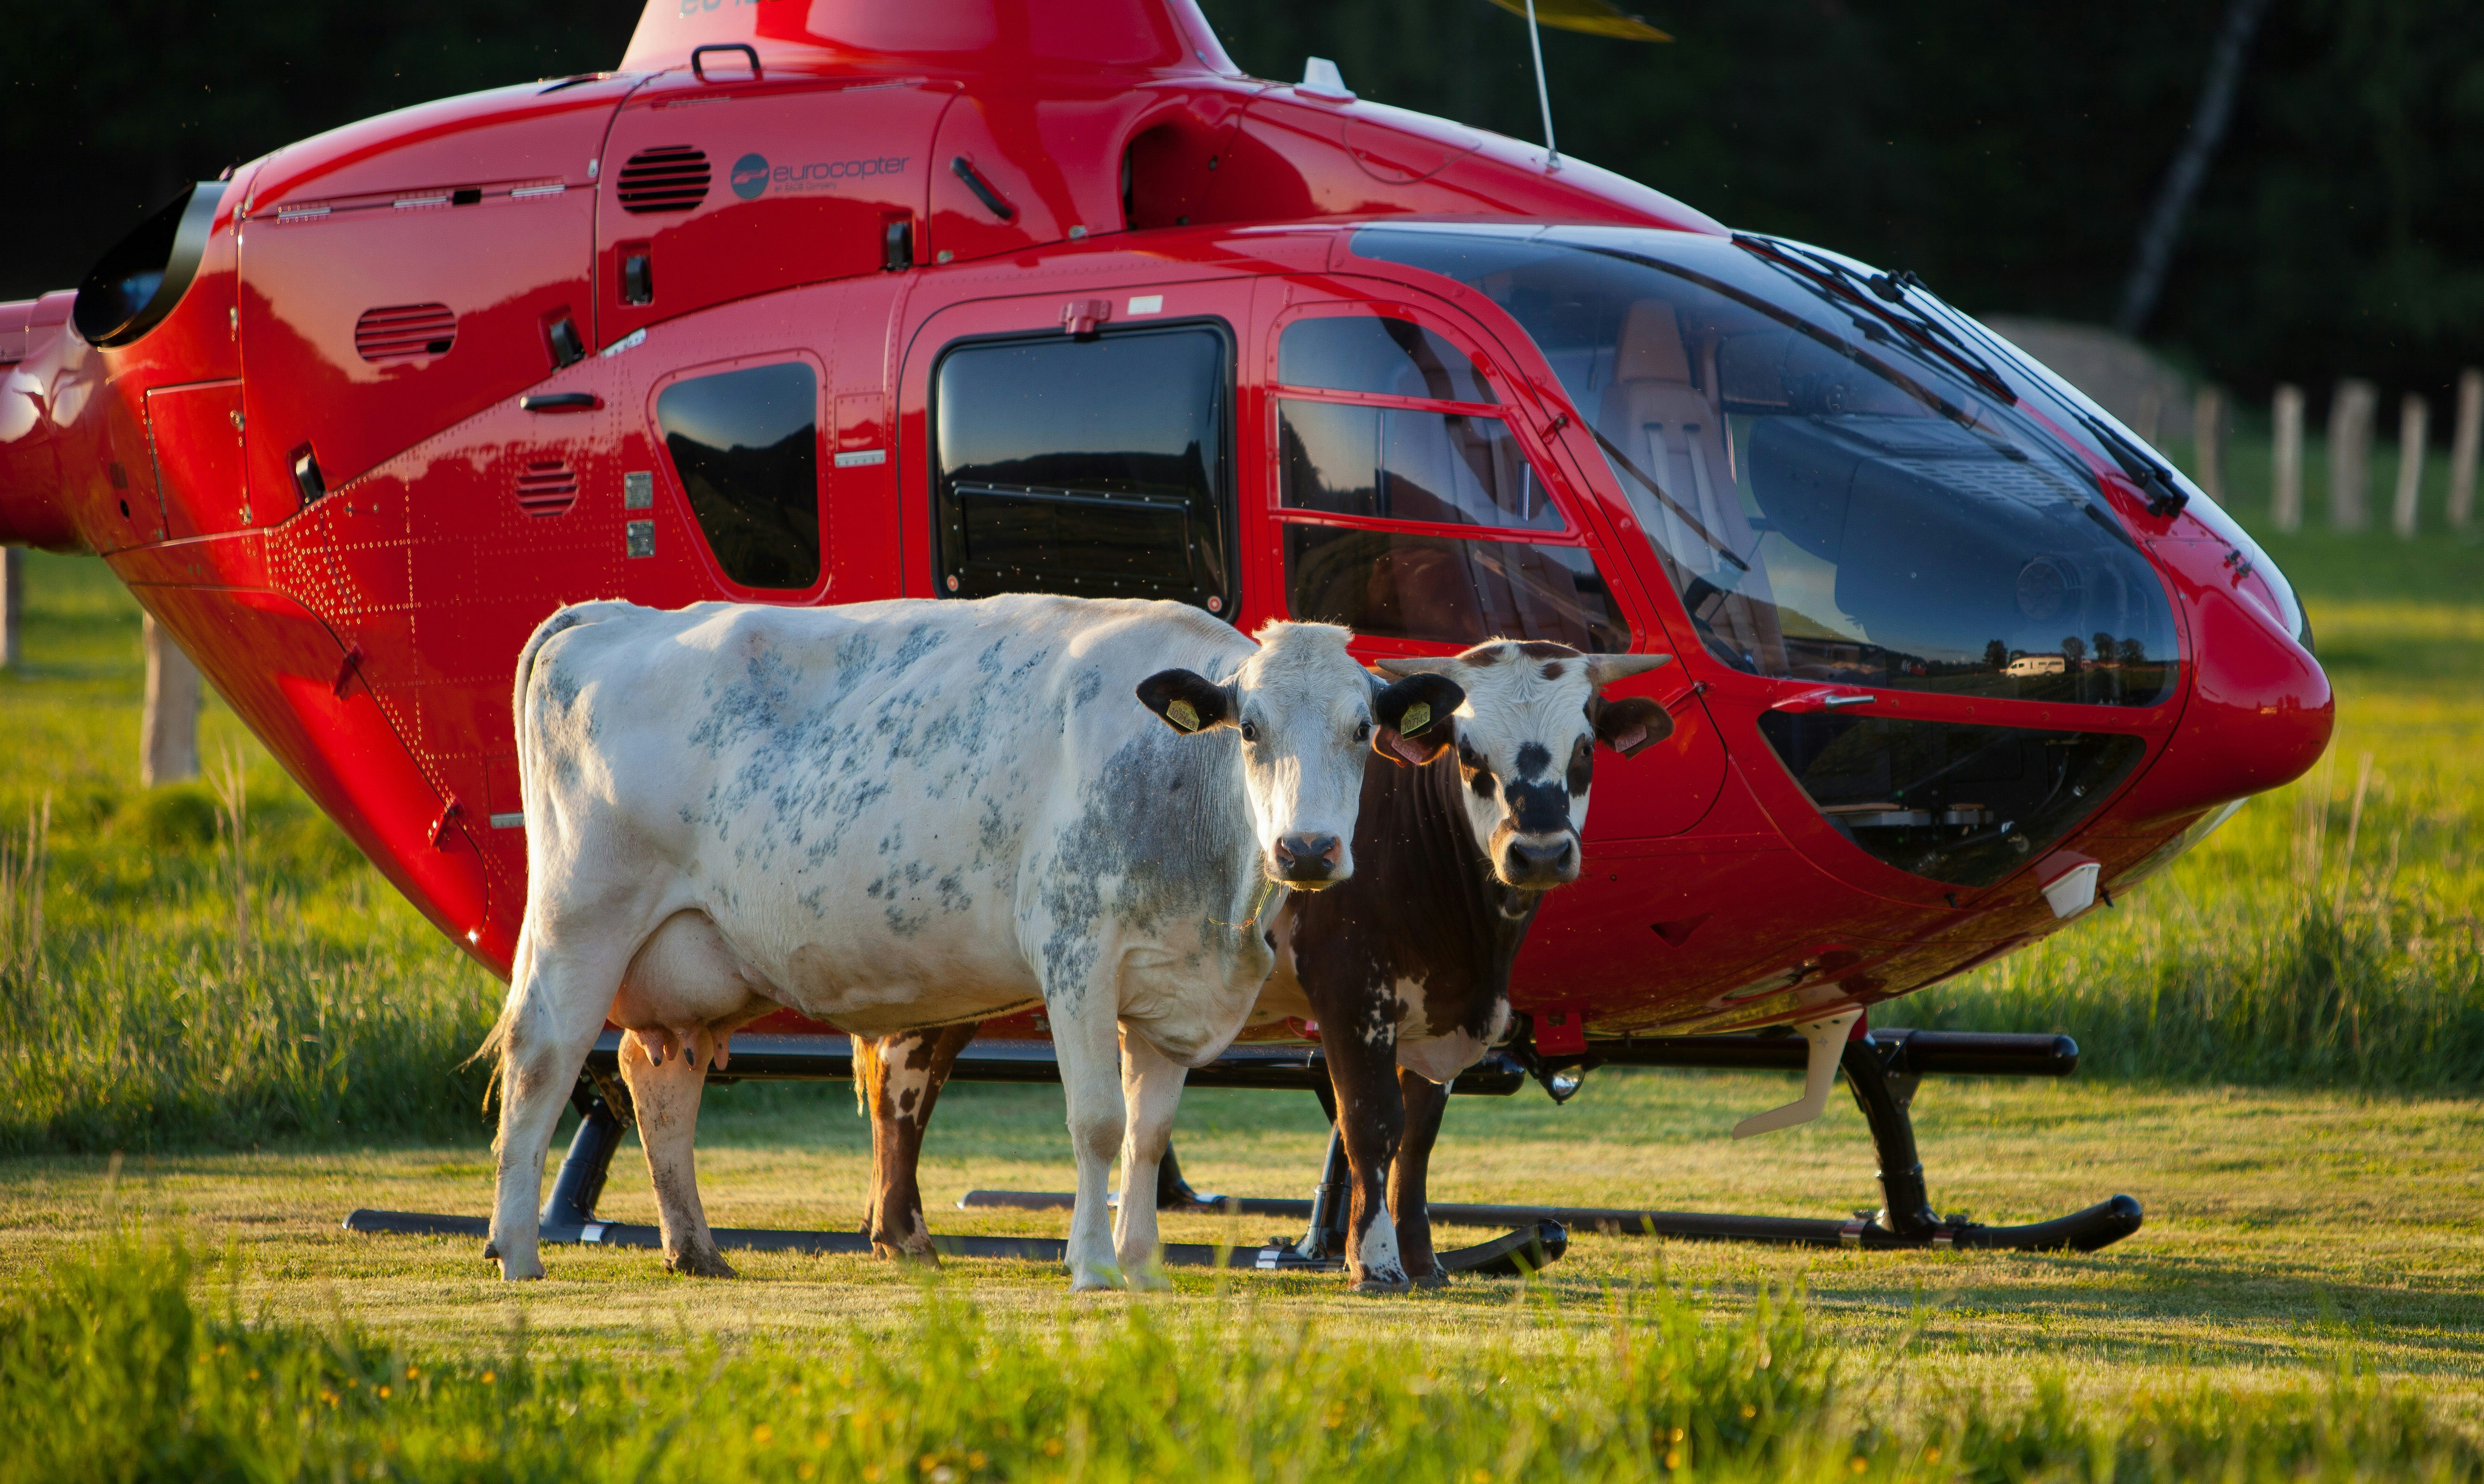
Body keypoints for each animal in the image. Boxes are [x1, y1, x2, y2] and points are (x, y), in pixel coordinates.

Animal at [480, 595, 1463, 1292]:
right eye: (1249, 729)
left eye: (1360, 730)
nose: (1306, 848)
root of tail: (613, 614)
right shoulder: (1076, 954)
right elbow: (1099, 1121)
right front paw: (1091, 1264)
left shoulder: (1167, 987)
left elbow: (1150, 1135)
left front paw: (1143, 1264)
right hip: (581, 918)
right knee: (542, 1059)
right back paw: (517, 1247)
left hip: (693, 956)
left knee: (657, 1073)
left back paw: (694, 1248)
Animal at [853, 640, 1673, 1291]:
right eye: (1471, 756)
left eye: (1583, 749)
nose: (1538, 851)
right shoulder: (1353, 990)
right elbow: (1371, 1122)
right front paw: (1375, 1263)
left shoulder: (1431, 1011)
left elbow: (1417, 1139)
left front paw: (1425, 1260)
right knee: (908, 1077)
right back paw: (904, 1231)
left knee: (906, 1073)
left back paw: (898, 1232)